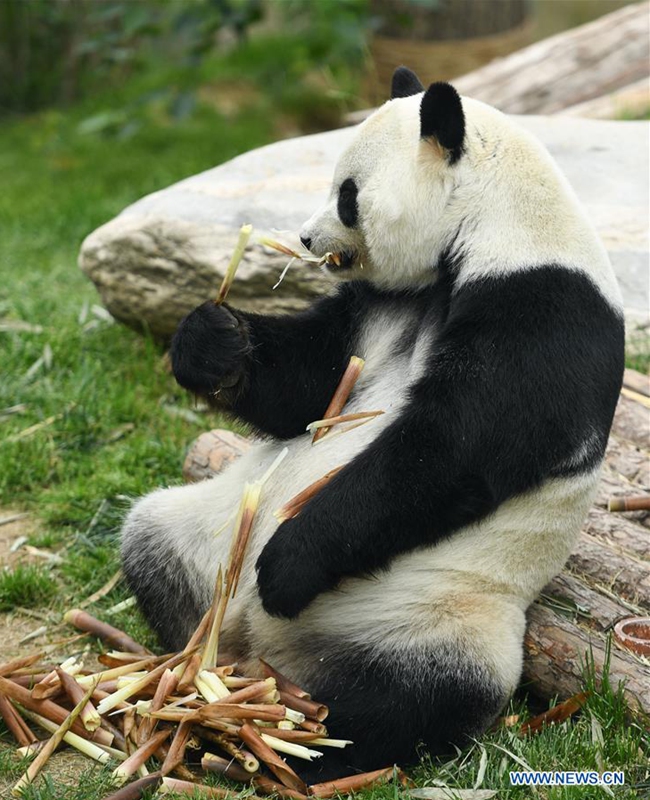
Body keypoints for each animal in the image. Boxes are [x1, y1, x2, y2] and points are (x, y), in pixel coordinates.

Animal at [121, 66, 625, 778]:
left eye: (348, 196)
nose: (306, 239)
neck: (497, 223)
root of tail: (263, 645)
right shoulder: (382, 302)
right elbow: (310, 384)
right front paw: (211, 342)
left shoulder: (543, 309)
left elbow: (444, 454)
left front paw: (287, 566)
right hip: (203, 533)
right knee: (150, 543)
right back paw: (194, 667)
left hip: (438, 611)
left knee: (410, 699)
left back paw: (285, 739)